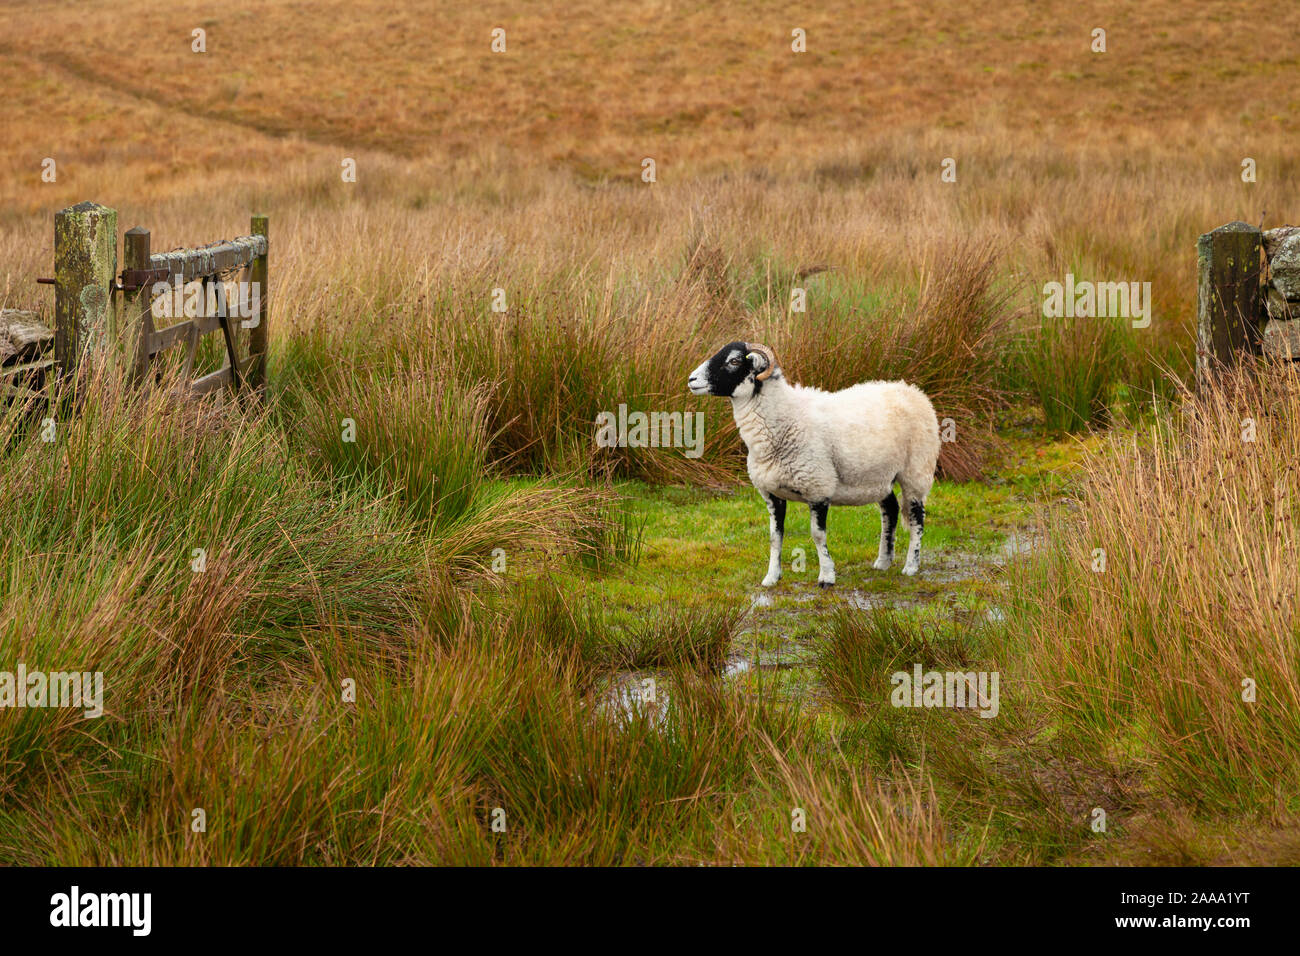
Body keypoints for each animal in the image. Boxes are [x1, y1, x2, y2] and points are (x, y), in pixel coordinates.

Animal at [687, 341, 940, 587]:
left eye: (734, 361)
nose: (691, 380)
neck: (786, 418)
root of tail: (912, 390)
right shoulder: (772, 494)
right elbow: (774, 537)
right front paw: (771, 577)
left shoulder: (818, 488)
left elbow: (818, 535)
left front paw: (827, 576)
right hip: (878, 477)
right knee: (891, 510)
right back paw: (883, 561)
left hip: (916, 470)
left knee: (917, 517)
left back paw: (911, 566)